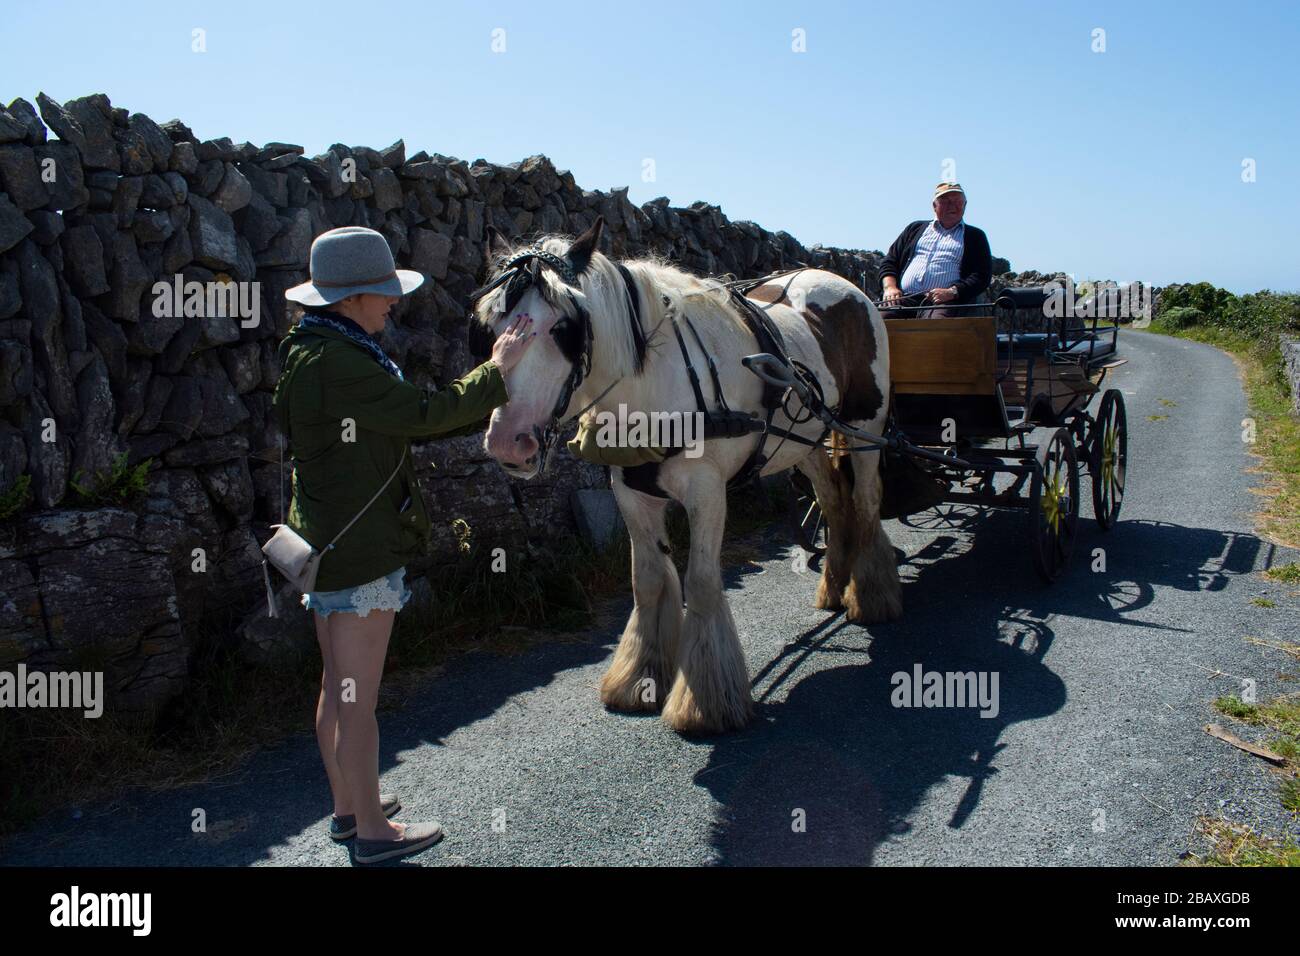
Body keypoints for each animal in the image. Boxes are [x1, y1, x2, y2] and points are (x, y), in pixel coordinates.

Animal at [472, 216, 902, 735]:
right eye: (493, 327)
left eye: (564, 328)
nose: (506, 441)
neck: (655, 385)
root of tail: (843, 284)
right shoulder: (630, 493)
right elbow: (649, 580)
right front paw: (639, 678)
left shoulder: (707, 492)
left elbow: (699, 583)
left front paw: (703, 702)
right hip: (806, 442)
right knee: (834, 501)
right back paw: (834, 588)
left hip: (865, 428)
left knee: (865, 501)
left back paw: (873, 596)